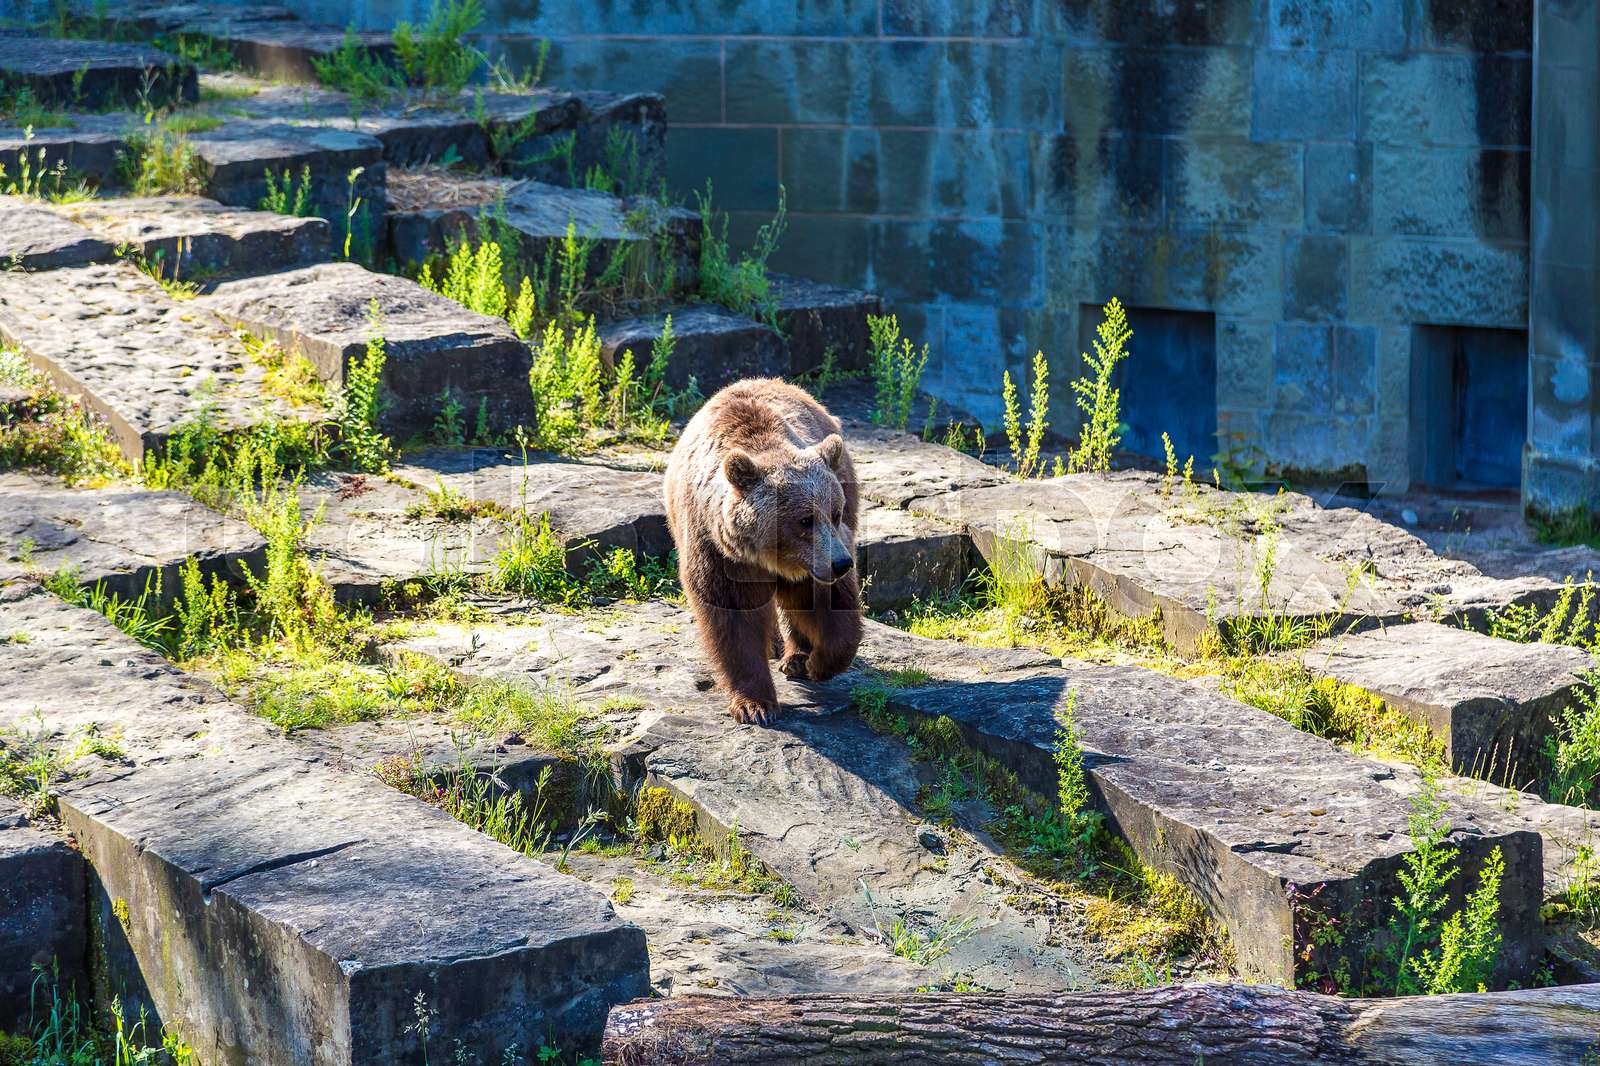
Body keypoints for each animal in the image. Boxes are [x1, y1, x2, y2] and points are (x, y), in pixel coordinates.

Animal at [663, 377, 863, 725]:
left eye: (835, 513)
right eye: (805, 519)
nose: (842, 563)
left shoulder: (817, 558)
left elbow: (828, 606)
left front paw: (817, 664)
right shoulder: (717, 551)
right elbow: (734, 619)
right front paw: (756, 706)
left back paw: (795, 657)